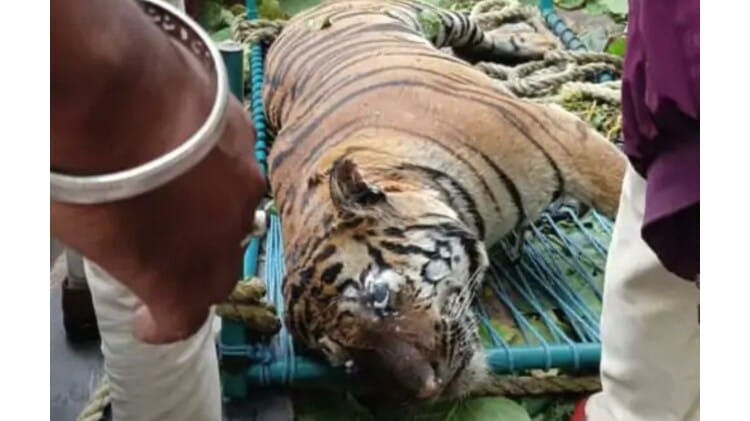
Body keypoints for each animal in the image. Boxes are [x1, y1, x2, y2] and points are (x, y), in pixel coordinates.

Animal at [262, 0, 626, 400]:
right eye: (344, 358)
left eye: (378, 295)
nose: (426, 389)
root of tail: (299, 16)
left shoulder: (561, 134)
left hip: (443, 18)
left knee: (486, 34)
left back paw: (539, 42)